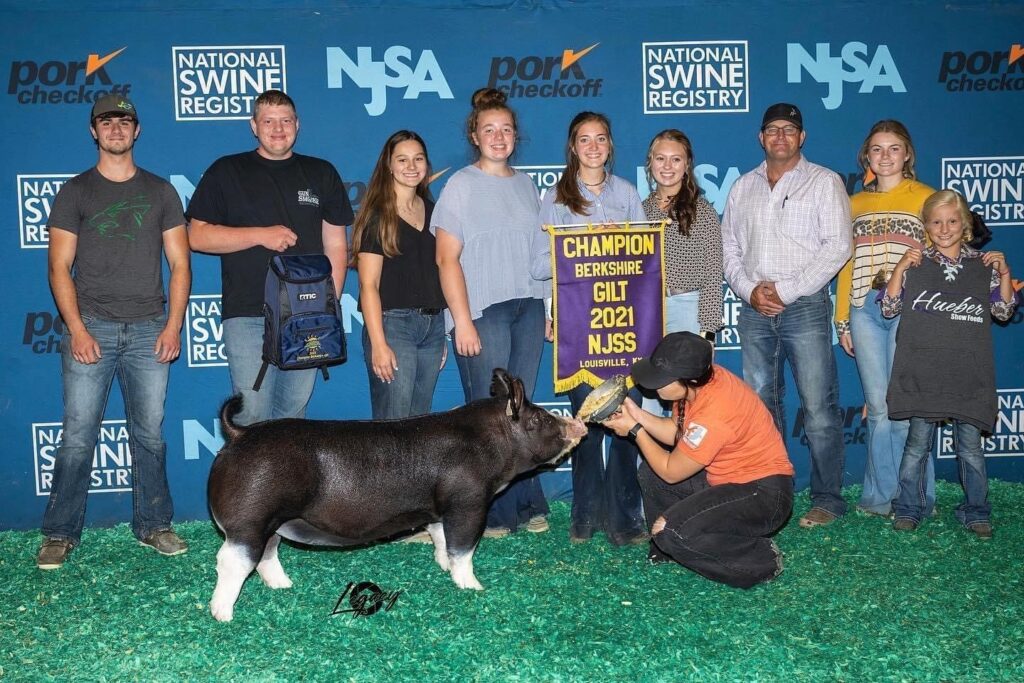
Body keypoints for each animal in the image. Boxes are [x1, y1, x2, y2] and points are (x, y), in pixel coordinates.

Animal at [207, 368, 587, 622]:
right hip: (249, 518)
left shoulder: (436, 508)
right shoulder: (469, 502)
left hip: (271, 520)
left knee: (267, 554)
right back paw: (222, 614)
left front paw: (441, 565)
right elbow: (463, 547)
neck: (492, 442)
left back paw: (284, 586)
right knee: (231, 561)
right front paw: (473, 588)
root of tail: (238, 434)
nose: (579, 424)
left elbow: (439, 537)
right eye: (539, 419)